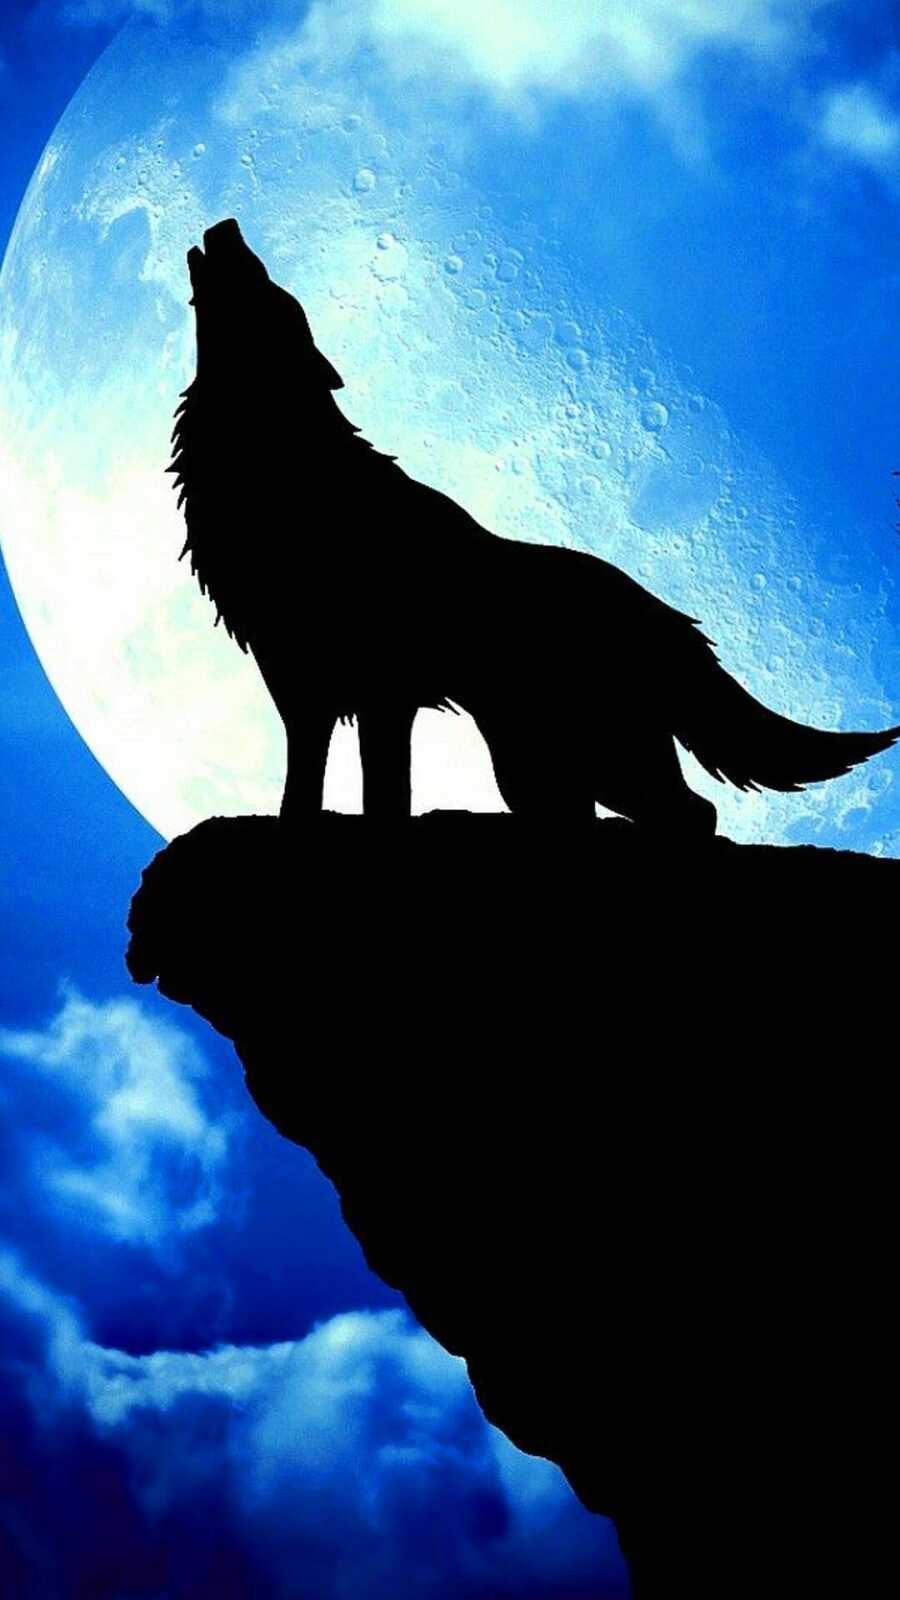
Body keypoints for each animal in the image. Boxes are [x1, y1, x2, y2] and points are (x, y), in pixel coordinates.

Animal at [169, 219, 898, 832]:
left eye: (270, 289)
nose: (228, 225)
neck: (289, 470)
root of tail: (667, 616)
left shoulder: (383, 692)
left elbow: (385, 796)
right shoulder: (301, 687)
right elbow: (305, 786)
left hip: (594, 754)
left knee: (694, 814)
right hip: (539, 765)